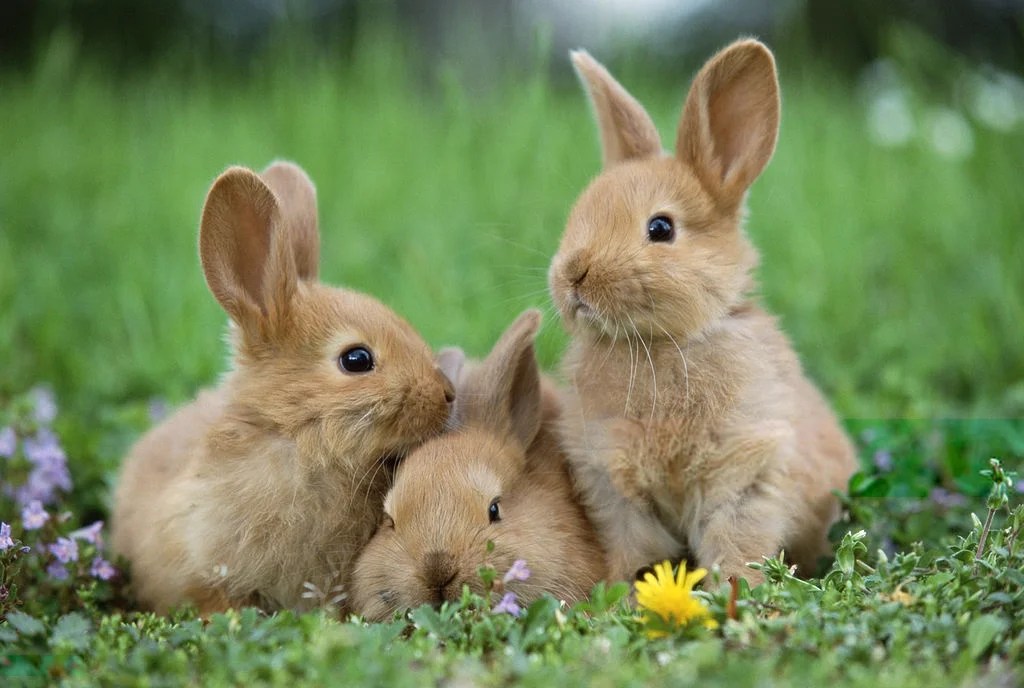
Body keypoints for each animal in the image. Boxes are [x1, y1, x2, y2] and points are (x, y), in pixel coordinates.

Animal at [547, 40, 858, 586]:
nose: (573, 276)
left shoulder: (745, 471)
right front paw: (625, 591)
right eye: (579, 214)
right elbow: (636, 549)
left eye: (661, 228)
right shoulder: (614, 485)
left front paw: (735, 591)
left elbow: (735, 543)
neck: (659, 344)